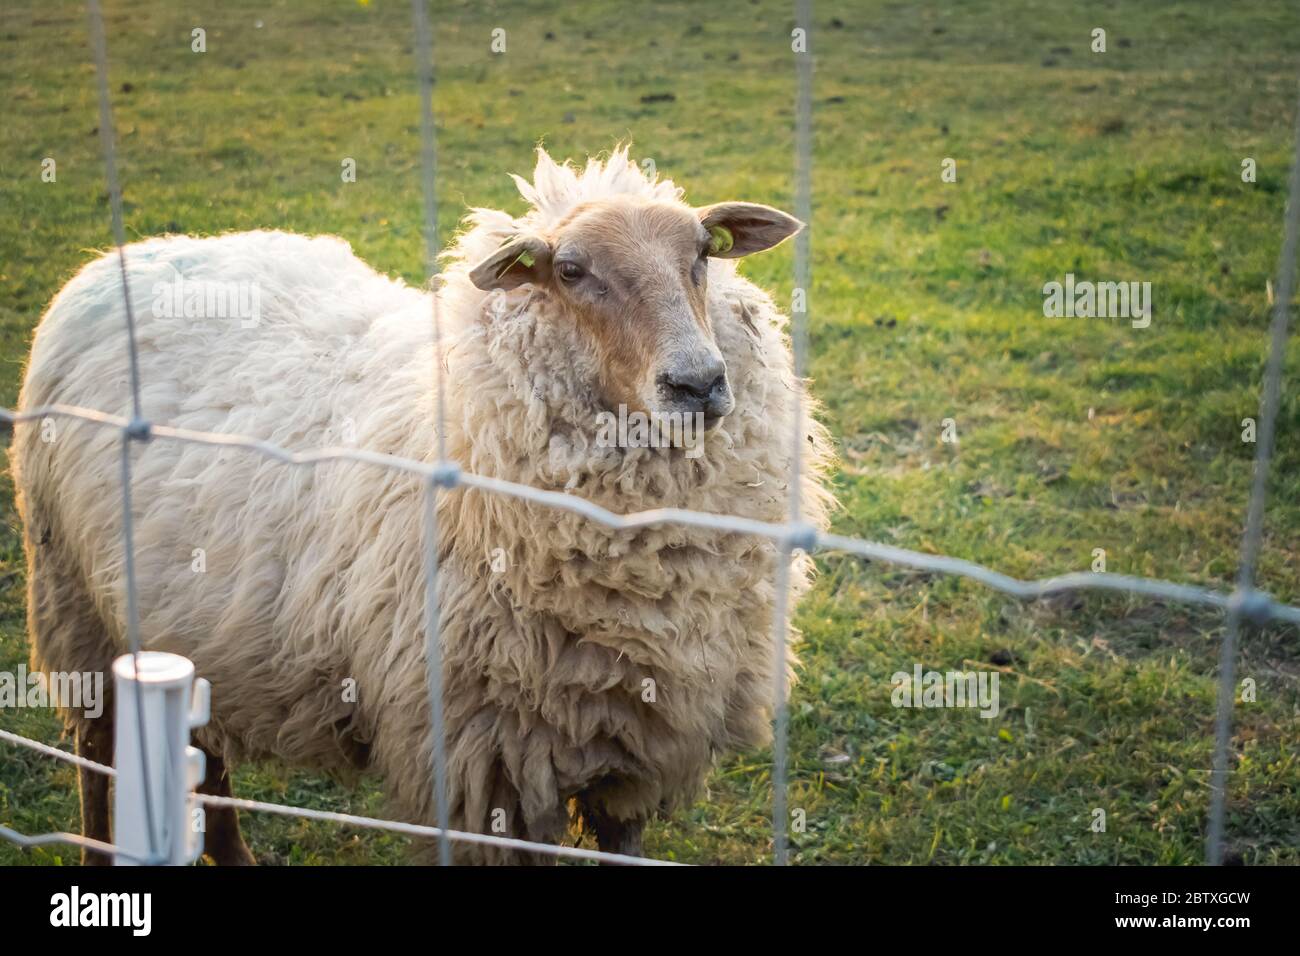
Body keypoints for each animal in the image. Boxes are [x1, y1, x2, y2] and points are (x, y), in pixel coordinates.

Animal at [12, 146, 836, 864]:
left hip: (193, 623)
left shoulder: (637, 751)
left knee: (202, 759)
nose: (698, 384)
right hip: (78, 607)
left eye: (703, 252)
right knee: (98, 754)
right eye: (571, 270)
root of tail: (123, 257)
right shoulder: (485, 766)